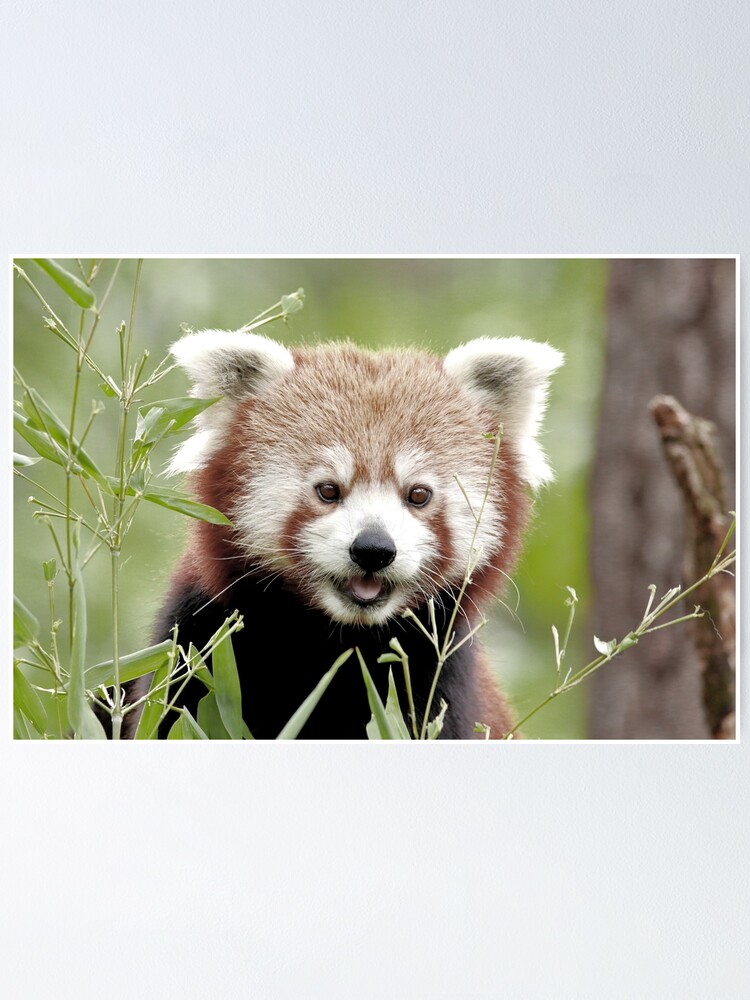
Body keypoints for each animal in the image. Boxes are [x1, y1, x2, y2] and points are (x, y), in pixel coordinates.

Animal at [123, 330, 563, 739]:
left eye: (418, 495)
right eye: (328, 490)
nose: (373, 549)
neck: (338, 644)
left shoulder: (438, 683)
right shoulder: (199, 647)